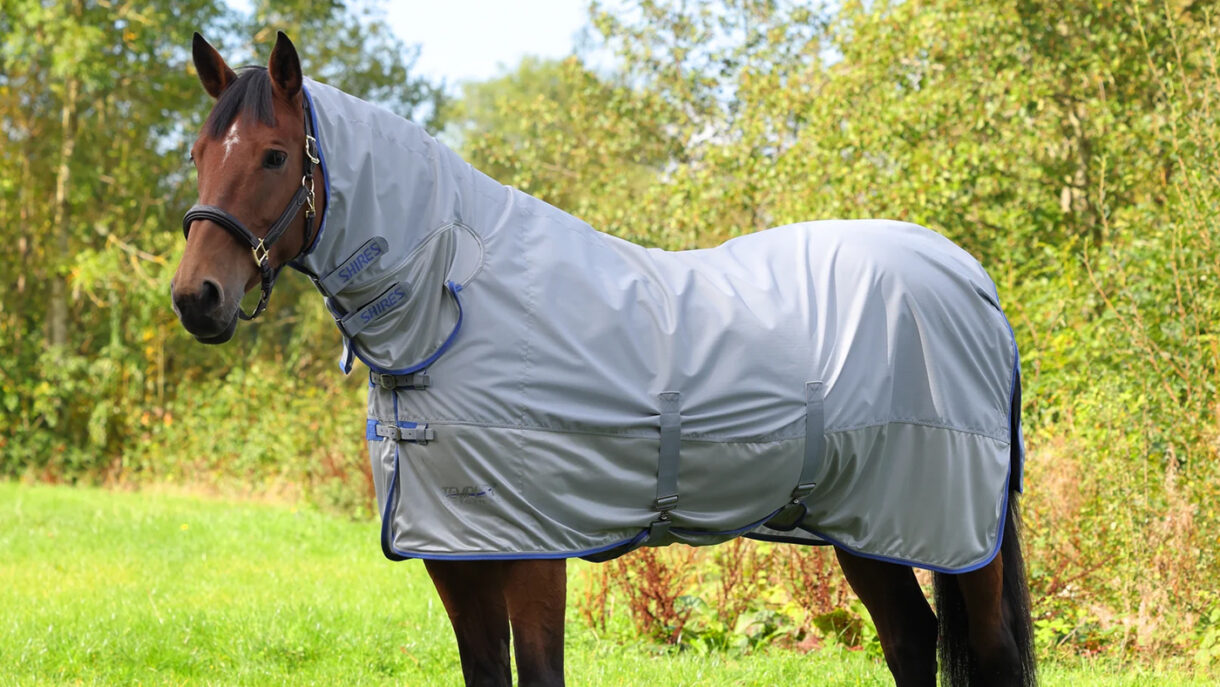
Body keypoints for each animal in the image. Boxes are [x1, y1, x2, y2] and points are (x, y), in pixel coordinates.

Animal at [171, 31, 1036, 687]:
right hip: (869, 525)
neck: (454, 302)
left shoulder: (532, 548)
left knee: (989, 654)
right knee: (909, 640)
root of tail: (973, 281)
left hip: (958, 531)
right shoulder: (455, 552)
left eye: (275, 156)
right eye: (199, 153)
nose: (196, 298)